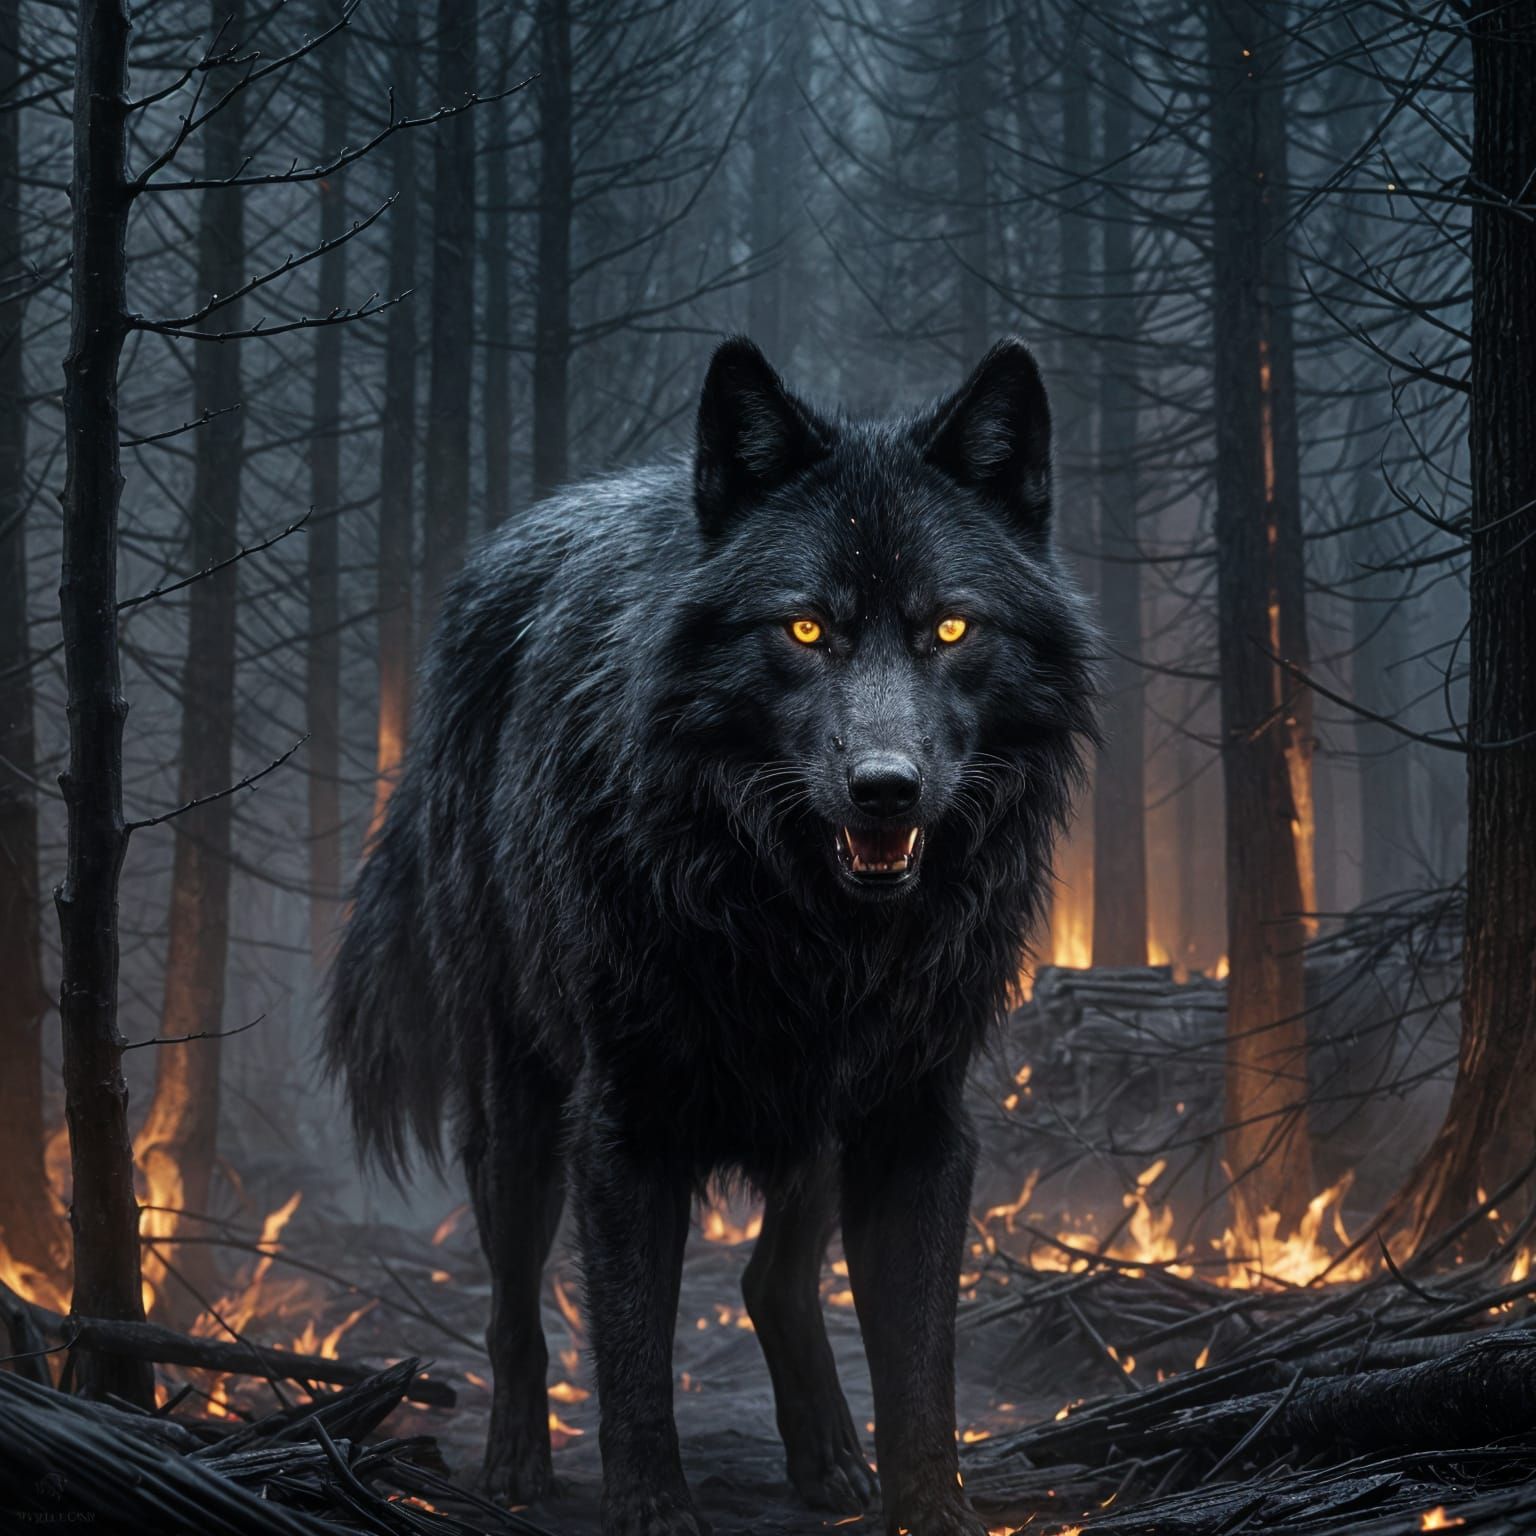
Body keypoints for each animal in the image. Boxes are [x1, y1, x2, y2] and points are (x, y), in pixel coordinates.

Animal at [326, 336, 1097, 1536]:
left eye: (952, 627)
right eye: (806, 628)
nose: (886, 790)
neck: (802, 922)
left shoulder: (915, 1125)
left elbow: (920, 1370)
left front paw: (927, 1506)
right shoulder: (626, 1128)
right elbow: (633, 1356)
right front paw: (649, 1506)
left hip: (811, 1124)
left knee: (766, 1282)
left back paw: (829, 1459)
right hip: (518, 1111)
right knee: (512, 1309)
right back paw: (514, 1465)